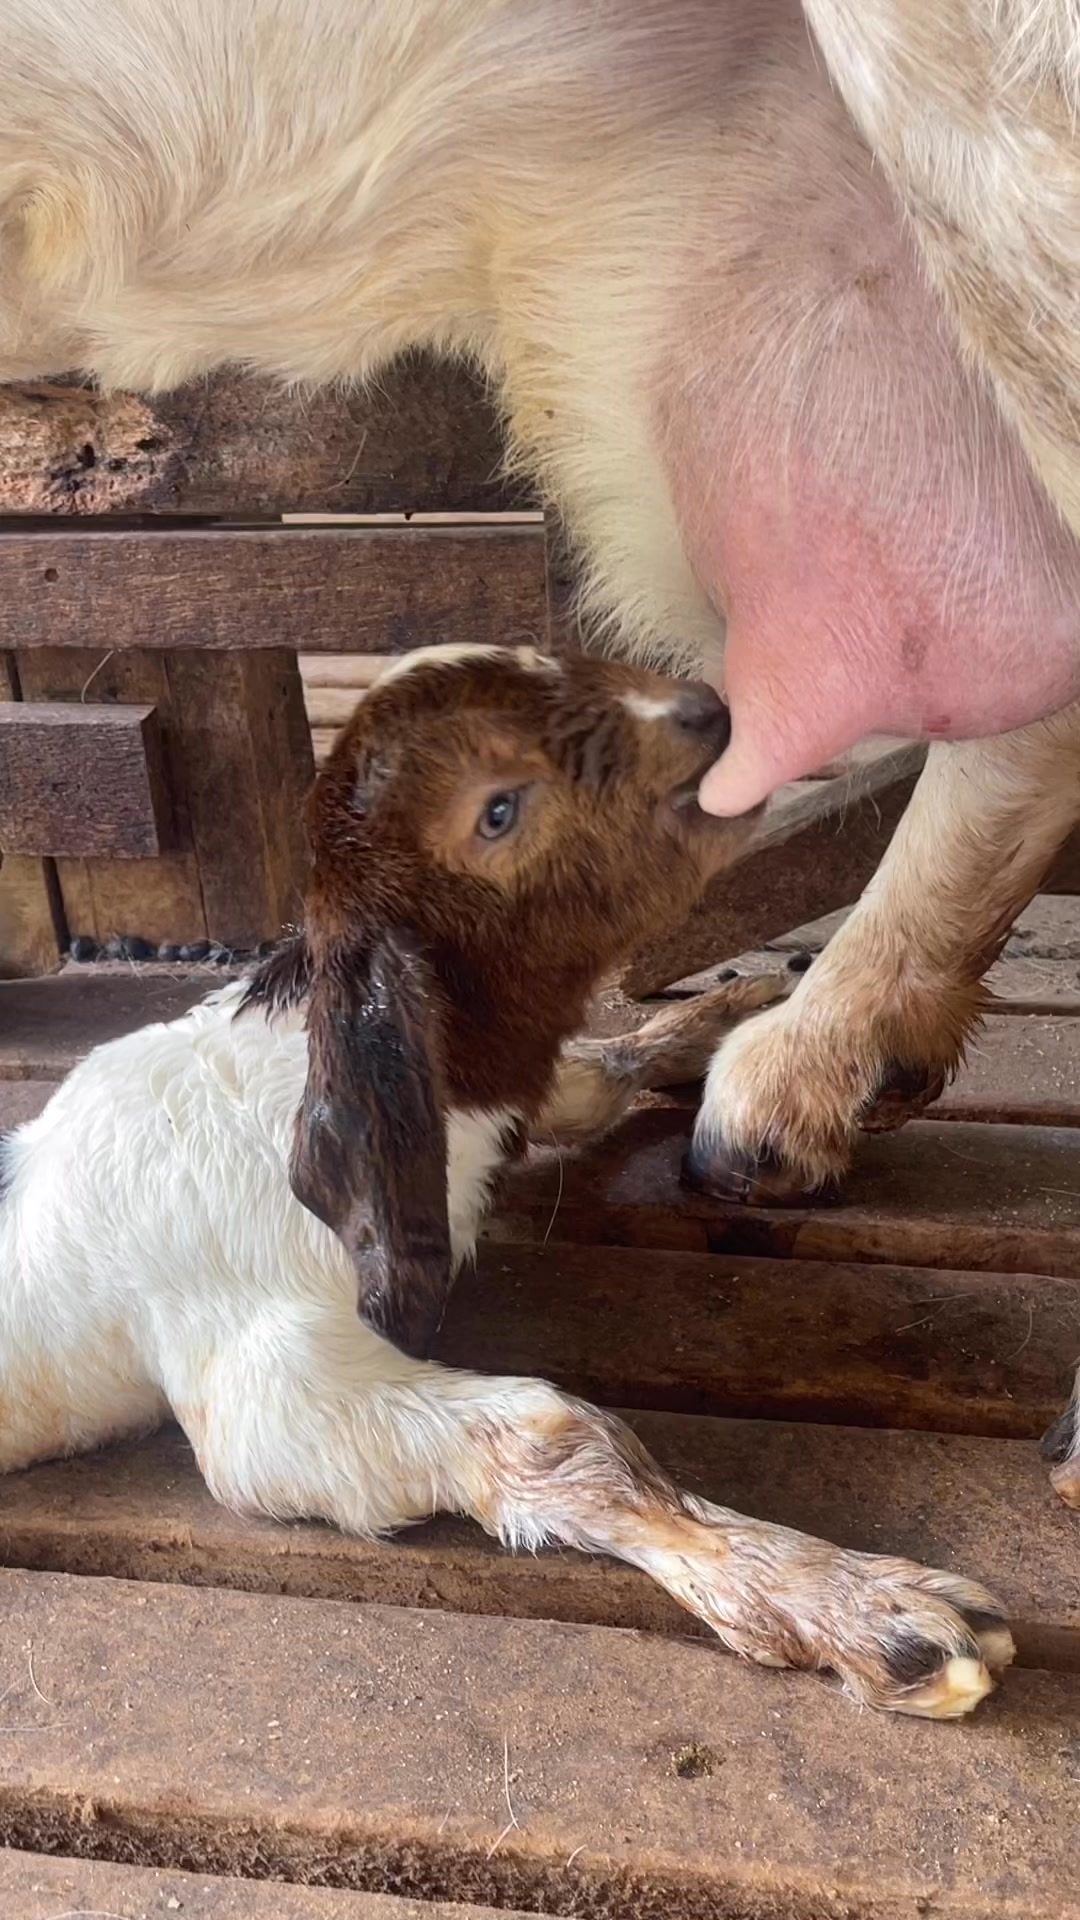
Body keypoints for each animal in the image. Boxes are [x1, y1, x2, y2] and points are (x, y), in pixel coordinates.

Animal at [0, 645, 1013, 1721]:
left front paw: (744, 1013)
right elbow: (548, 1428)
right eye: (497, 811)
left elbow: (587, 1076)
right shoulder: (263, 1377)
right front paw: (860, 1607)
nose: (711, 714)